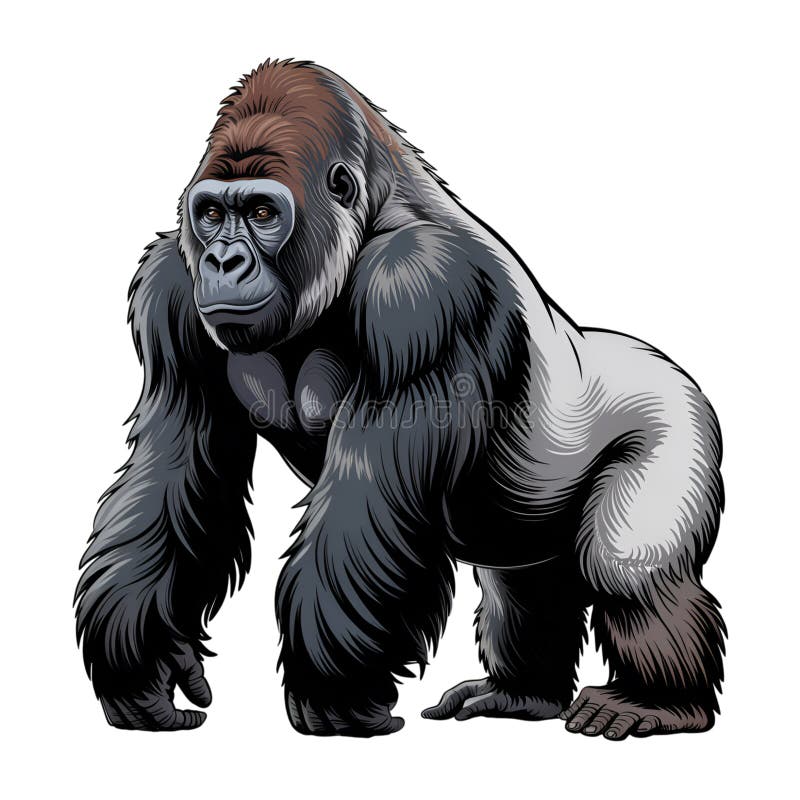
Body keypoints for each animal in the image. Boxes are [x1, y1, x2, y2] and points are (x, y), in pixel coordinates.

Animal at [75, 59, 725, 739]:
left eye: (260, 212)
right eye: (210, 214)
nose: (224, 261)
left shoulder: (419, 284)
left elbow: (365, 503)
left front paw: (336, 694)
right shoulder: (172, 287)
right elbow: (171, 475)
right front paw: (141, 665)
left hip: (677, 412)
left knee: (628, 569)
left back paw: (659, 702)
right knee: (525, 585)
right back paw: (522, 695)